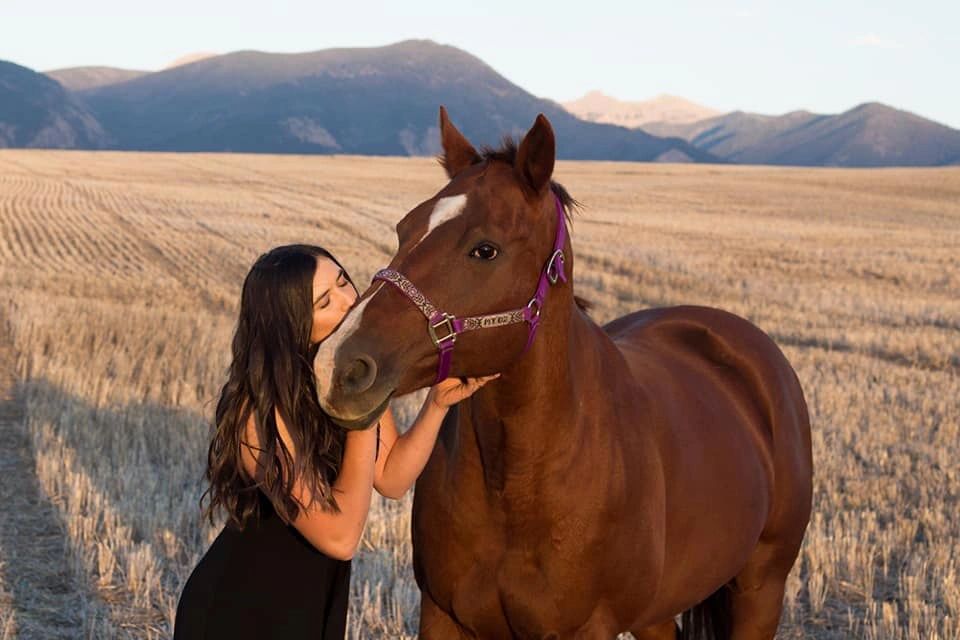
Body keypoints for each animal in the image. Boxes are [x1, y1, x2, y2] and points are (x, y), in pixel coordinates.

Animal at [314, 107, 813, 640]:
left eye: (485, 249)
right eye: (404, 229)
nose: (338, 365)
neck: (517, 482)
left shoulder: (585, 629)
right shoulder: (442, 616)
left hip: (760, 588)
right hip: (658, 611)